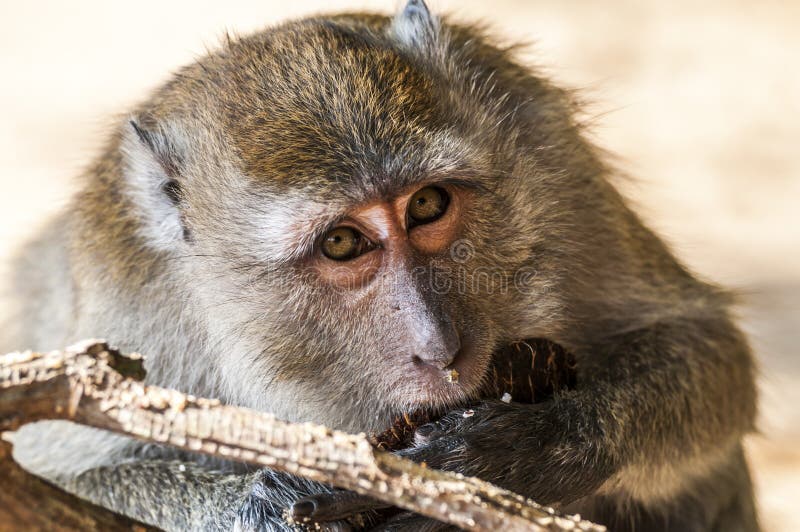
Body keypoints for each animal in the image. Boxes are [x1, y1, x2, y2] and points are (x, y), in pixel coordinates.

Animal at [1, 1, 759, 530]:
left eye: (425, 204)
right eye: (342, 243)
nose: (441, 346)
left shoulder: (552, 160)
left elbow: (707, 347)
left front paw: (537, 450)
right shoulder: (137, 312)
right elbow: (56, 472)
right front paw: (261, 506)